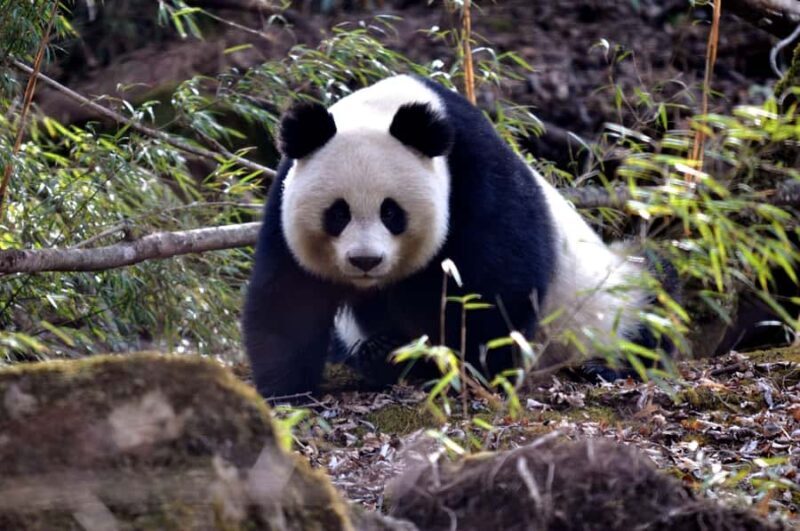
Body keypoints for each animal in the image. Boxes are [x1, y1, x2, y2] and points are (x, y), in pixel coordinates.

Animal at [243, 74, 672, 398]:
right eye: (337, 213)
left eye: (391, 212)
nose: (365, 261)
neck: (387, 109)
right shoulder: (284, 201)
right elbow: (289, 297)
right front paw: (286, 391)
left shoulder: (476, 179)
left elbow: (496, 286)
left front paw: (466, 369)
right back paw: (379, 351)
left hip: (612, 297)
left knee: (656, 297)